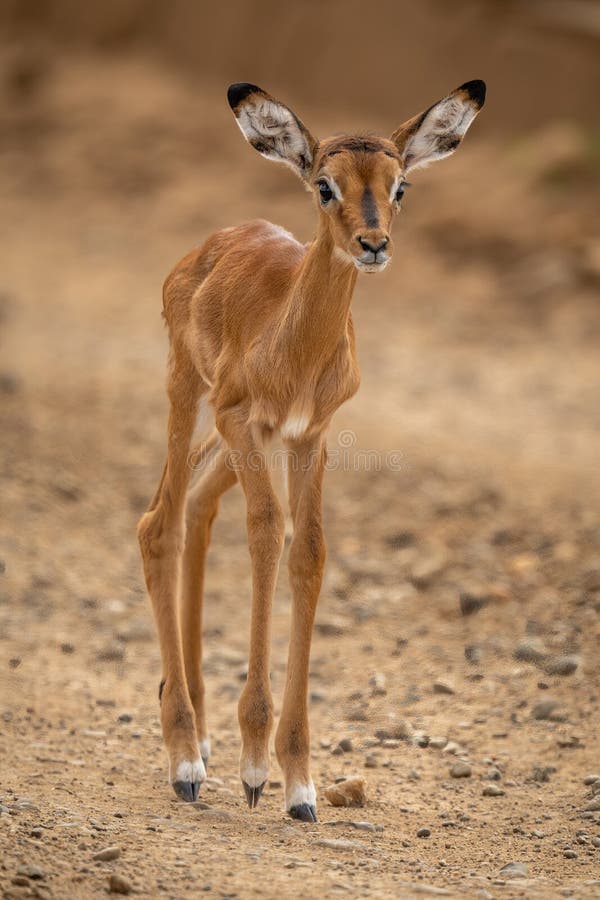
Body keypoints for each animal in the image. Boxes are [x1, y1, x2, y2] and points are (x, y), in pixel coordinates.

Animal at [138, 79, 486, 821]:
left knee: (197, 510)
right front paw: (254, 768)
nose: (373, 243)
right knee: (160, 526)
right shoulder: (245, 422)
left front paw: (298, 782)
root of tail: (207, 248)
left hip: (235, 443)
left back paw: (201, 739)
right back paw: (185, 759)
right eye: (325, 184)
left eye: (401, 185)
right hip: (190, 394)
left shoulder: (308, 437)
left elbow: (310, 554)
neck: (292, 339)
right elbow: (268, 534)